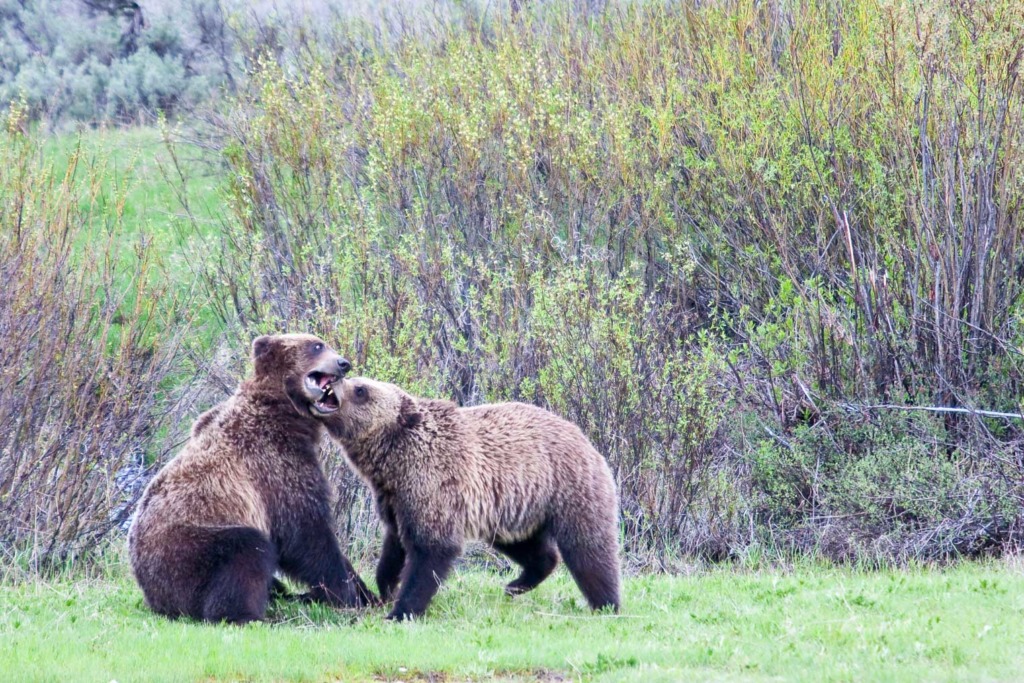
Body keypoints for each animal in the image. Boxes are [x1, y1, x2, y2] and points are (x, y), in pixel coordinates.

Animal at [128, 333, 377, 624]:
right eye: (317, 345)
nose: (343, 363)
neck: (284, 409)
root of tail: (152, 595)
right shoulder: (274, 464)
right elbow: (306, 532)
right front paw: (344, 592)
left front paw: (367, 593)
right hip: (186, 550)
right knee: (246, 550)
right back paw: (249, 614)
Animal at [324, 377, 621, 620]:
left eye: (361, 389)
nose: (334, 381)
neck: (393, 462)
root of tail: (585, 438)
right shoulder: (395, 499)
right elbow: (395, 545)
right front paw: (386, 585)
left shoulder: (433, 484)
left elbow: (431, 550)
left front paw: (402, 610)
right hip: (512, 506)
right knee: (528, 545)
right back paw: (516, 584)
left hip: (569, 488)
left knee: (589, 549)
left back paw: (607, 603)